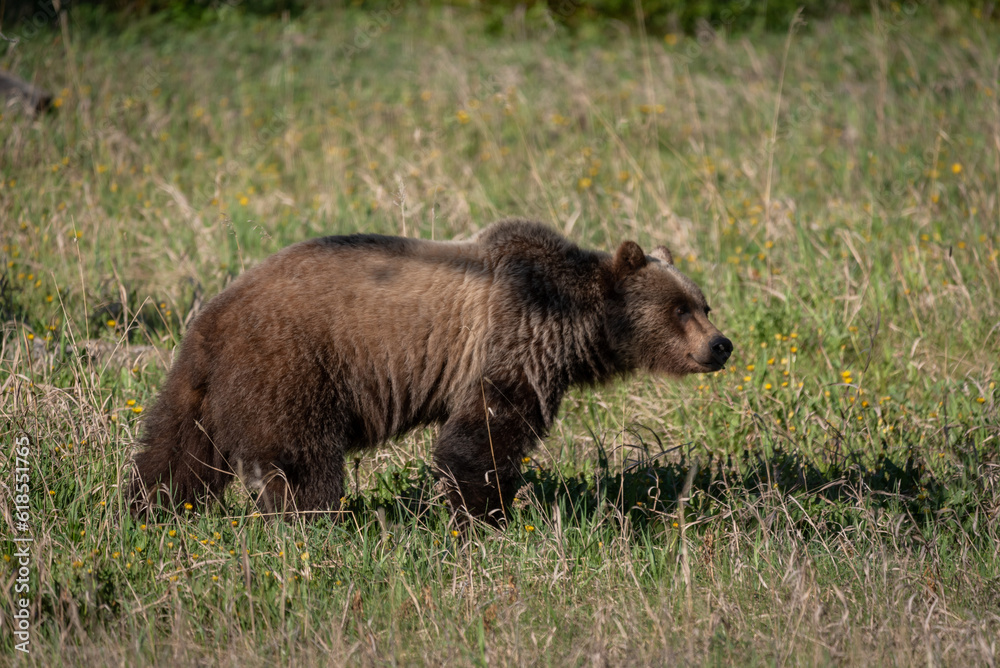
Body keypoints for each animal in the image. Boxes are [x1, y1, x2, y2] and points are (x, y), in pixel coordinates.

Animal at [129, 219, 732, 524]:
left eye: (704, 304)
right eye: (681, 309)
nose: (721, 345)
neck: (576, 323)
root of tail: (212, 317)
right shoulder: (511, 337)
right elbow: (483, 436)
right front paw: (485, 516)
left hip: (203, 389)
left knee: (174, 454)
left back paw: (153, 512)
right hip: (291, 366)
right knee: (301, 464)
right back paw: (319, 525)